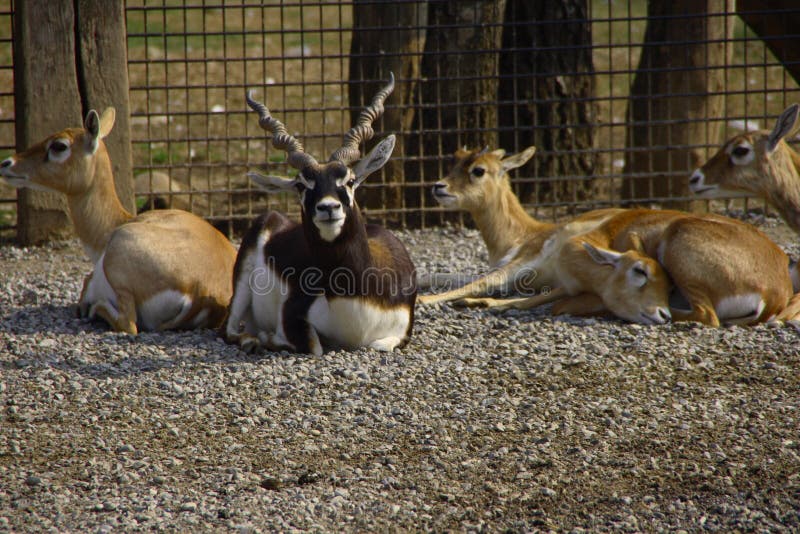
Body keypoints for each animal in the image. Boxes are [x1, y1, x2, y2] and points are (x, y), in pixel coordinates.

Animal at [224, 73, 417, 355]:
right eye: (301, 185)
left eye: (349, 181)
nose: (328, 208)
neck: (355, 296)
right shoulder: (292, 314)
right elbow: (314, 346)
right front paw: (269, 337)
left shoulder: (402, 331)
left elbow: (379, 346)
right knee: (227, 329)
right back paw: (253, 339)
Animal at [421, 146, 800, 326]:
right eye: (453, 162)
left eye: (478, 170)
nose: (438, 186)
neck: (524, 232)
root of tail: (774, 289)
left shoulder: (529, 261)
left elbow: (484, 281)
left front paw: (431, 301)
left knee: (707, 316)